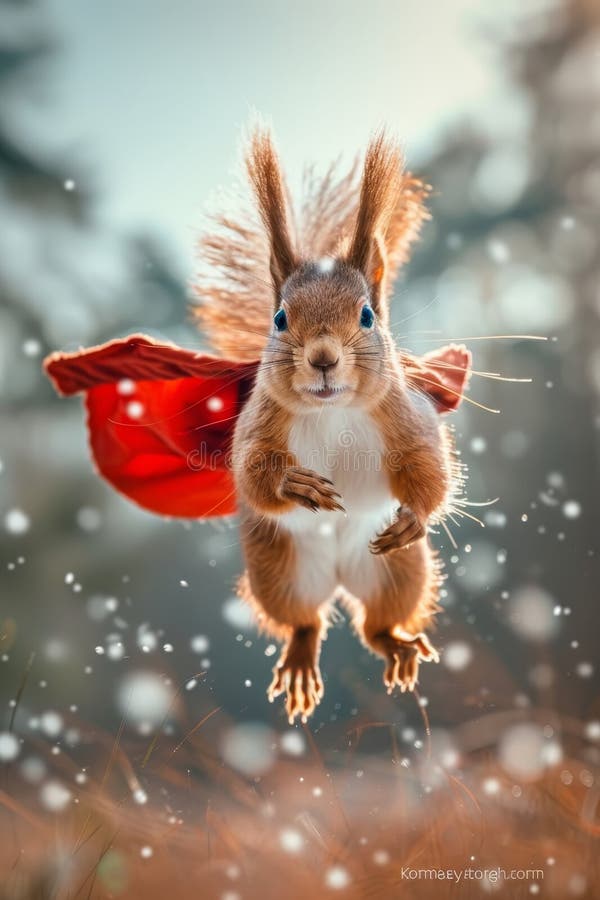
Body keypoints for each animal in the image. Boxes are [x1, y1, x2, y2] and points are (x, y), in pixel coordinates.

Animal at [195, 128, 470, 724]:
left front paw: (415, 516)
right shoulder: (258, 424)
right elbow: (251, 471)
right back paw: (301, 659)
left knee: (375, 625)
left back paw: (396, 646)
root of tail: (341, 579)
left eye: (366, 316)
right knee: (305, 622)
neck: (332, 410)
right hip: (280, 574)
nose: (322, 358)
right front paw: (293, 483)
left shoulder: (407, 416)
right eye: (280, 319)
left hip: (398, 574)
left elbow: (429, 467)